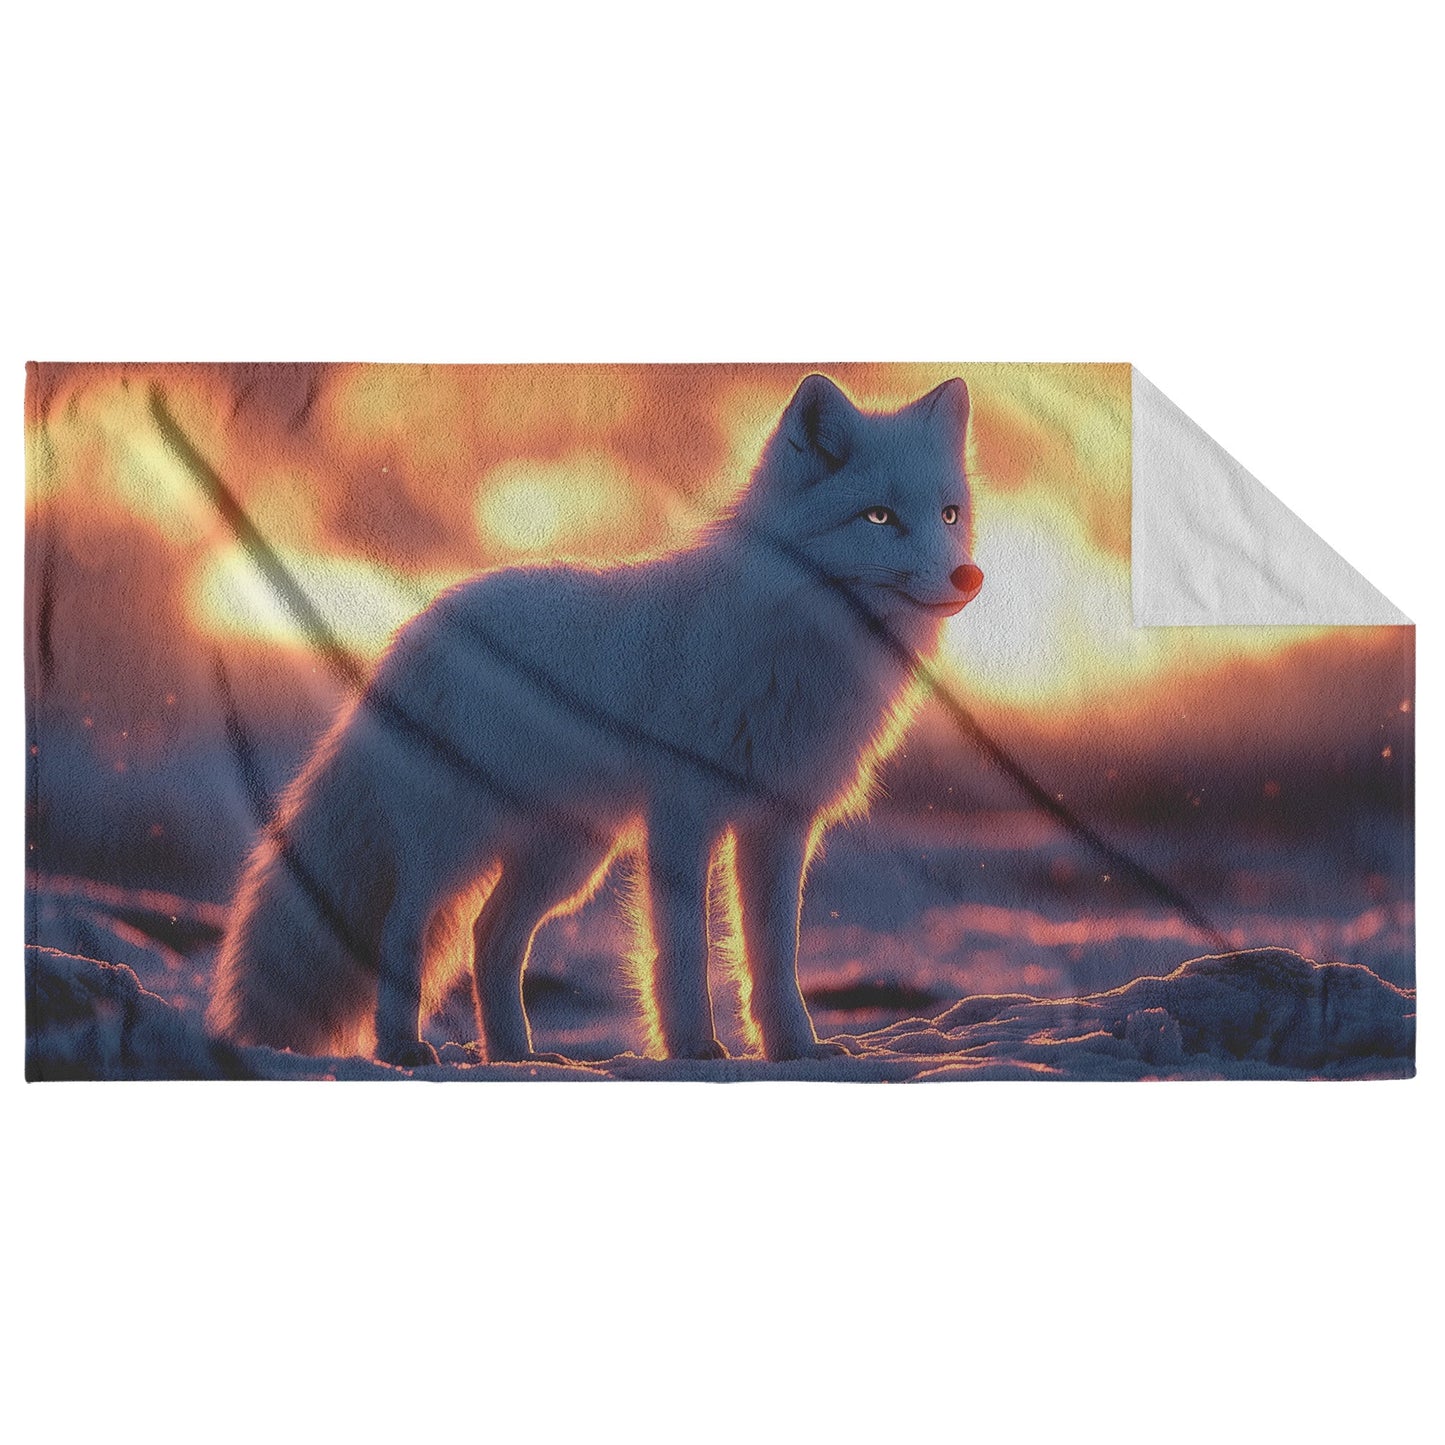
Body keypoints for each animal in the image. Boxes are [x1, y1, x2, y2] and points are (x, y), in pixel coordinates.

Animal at [207, 373, 985, 1067]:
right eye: (879, 517)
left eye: (949, 514)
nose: (969, 577)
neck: (791, 641)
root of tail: (412, 635)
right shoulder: (682, 814)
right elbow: (682, 948)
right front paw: (693, 1048)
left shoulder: (780, 823)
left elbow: (773, 954)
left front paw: (797, 1049)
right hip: (456, 846)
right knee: (404, 934)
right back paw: (404, 1048)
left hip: (568, 856)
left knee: (491, 938)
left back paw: (516, 1055)